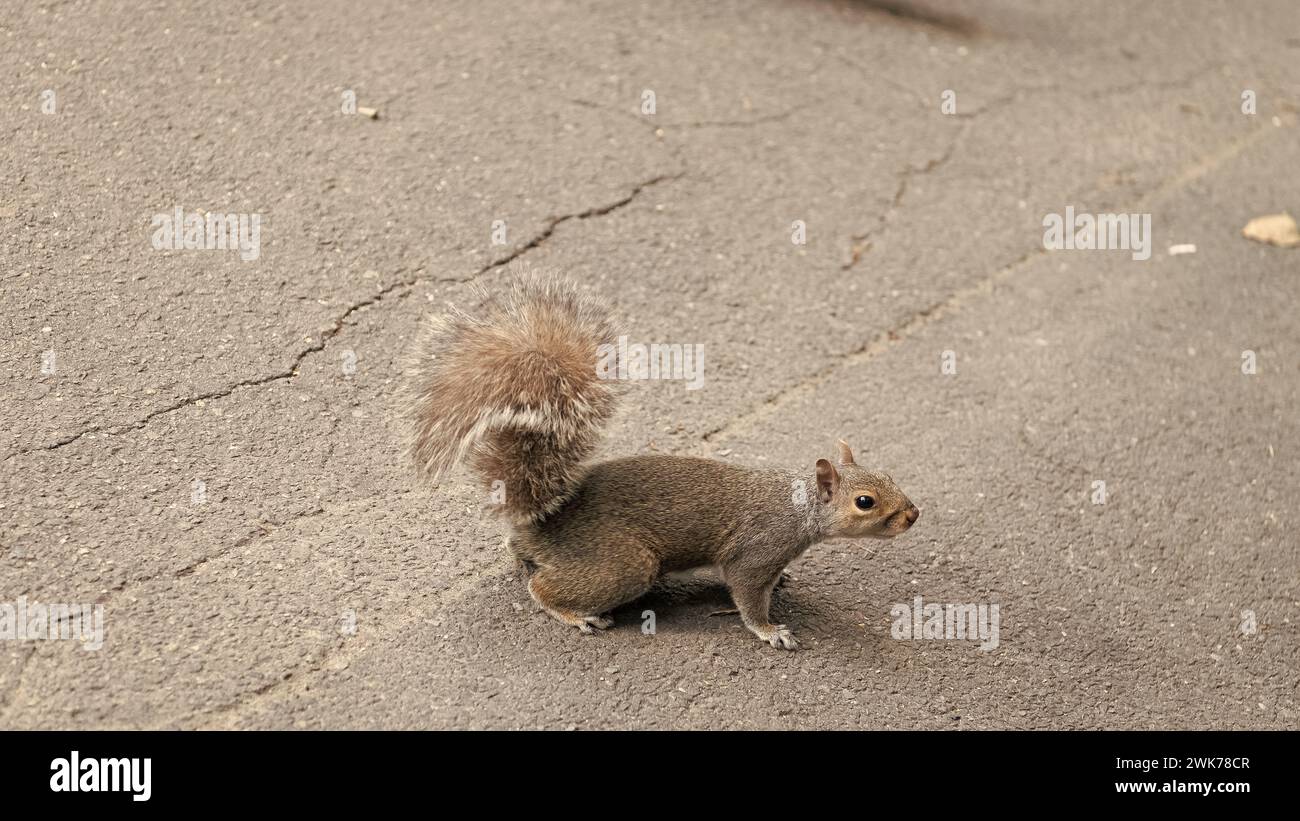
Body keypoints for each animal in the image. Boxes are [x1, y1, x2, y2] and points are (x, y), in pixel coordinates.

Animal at [404, 274, 919, 650]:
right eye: (865, 501)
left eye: (889, 474)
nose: (913, 514)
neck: (798, 505)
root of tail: (543, 522)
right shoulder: (755, 553)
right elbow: (748, 595)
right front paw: (770, 631)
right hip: (625, 565)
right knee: (542, 588)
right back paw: (574, 614)